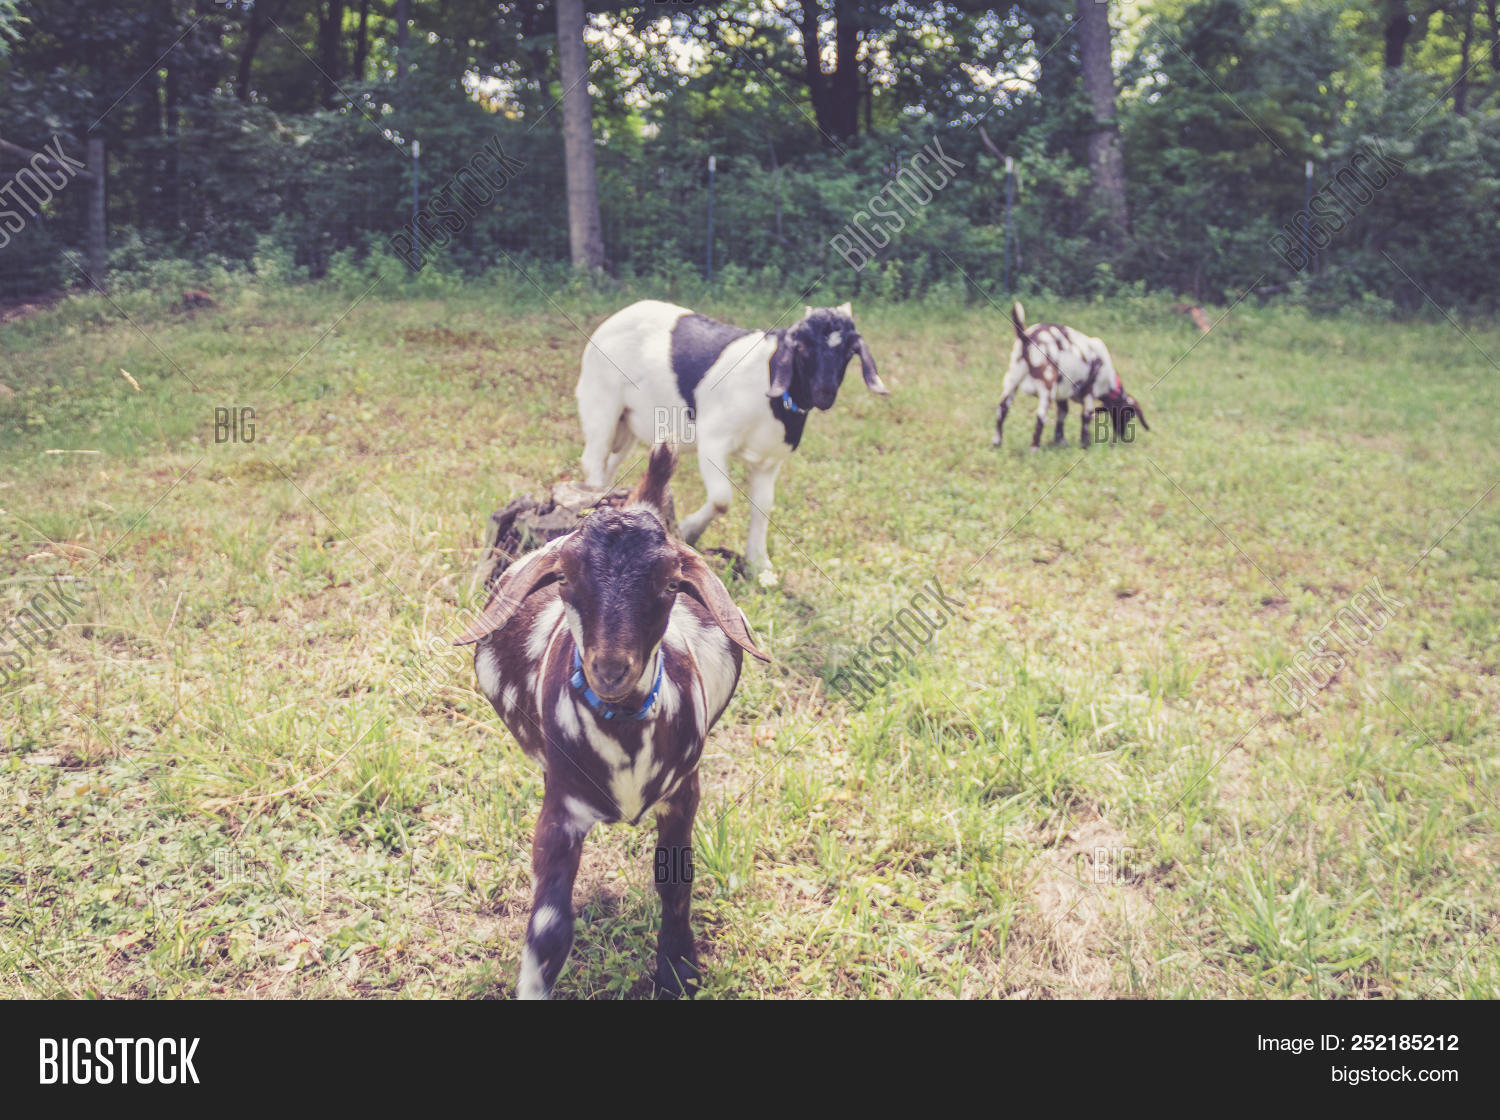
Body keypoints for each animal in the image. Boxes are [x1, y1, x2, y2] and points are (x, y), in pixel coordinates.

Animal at [457, 443, 769, 999]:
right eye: (564, 577)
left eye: (671, 584)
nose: (609, 668)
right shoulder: (561, 808)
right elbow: (549, 927)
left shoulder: (684, 792)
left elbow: (675, 882)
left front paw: (678, 970)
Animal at [575, 300, 888, 578]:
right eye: (802, 346)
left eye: (849, 351)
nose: (825, 393)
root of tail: (614, 319)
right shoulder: (713, 439)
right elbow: (722, 499)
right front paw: (689, 530)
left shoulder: (768, 461)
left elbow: (763, 506)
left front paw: (758, 565)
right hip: (601, 402)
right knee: (594, 458)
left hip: (627, 424)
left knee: (610, 463)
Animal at [992, 302, 1149, 451]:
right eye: (1129, 414)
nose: (1122, 435)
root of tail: (1026, 337)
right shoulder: (1089, 392)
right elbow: (1085, 416)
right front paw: (1085, 445)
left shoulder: (1063, 392)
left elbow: (1063, 413)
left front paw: (1060, 441)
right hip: (1047, 386)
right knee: (1040, 416)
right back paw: (1034, 447)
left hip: (1012, 379)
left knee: (1002, 409)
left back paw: (996, 443)